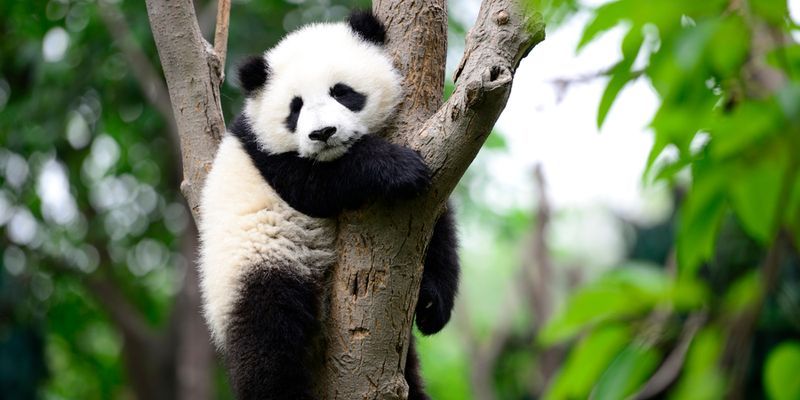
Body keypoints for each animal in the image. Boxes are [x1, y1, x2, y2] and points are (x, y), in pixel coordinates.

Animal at [198, 11, 460, 400]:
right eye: (295, 108)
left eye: (342, 92)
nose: (323, 134)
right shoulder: (268, 157)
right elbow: (318, 185)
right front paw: (397, 168)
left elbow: (436, 225)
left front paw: (431, 304)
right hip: (253, 265)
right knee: (268, 338)